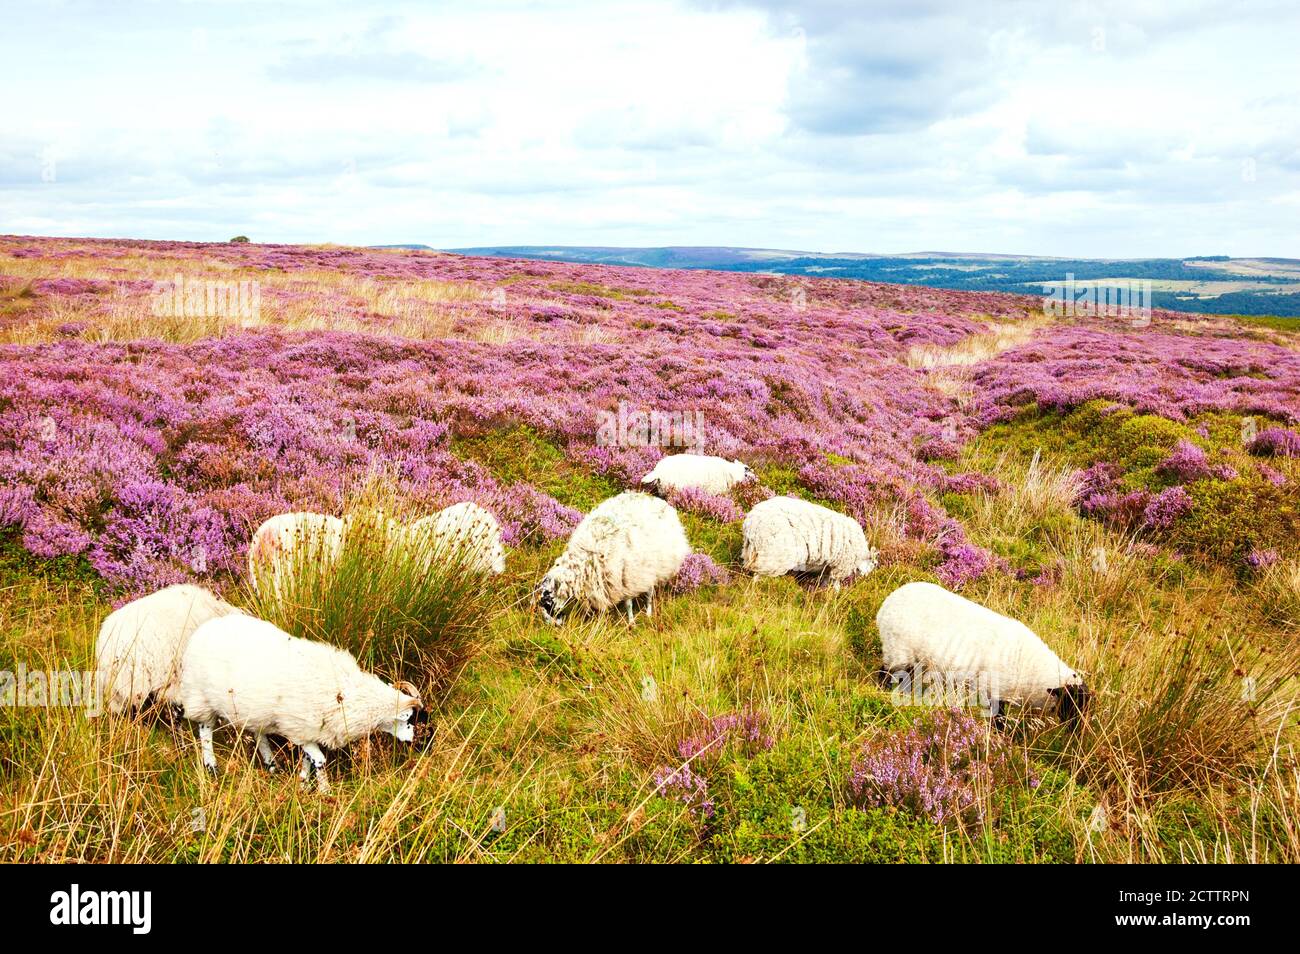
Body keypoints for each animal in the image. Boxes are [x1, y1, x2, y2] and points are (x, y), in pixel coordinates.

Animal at [175, 614, 422, 791]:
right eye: (414, 720)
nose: (420, 745)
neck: (353, 696)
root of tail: (206, 626)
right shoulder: (299, 728)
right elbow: (319, 760)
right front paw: (325, 792)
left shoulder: (306, 730)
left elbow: (308, 759)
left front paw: (303, 784)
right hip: (200, 696)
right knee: (205, 730)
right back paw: (211, 766)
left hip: (255, 710)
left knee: (259, 734)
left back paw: (272, 766)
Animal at [537, 491, 690, 624]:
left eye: (548, 602)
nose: (552, 625)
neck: (587, 558)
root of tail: (657, 500)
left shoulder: (626, 580)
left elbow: (628, 604)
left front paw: (631, 623)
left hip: (652, 568)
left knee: (650, 592)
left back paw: (648, 613)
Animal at [741, 495, 877, 589]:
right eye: (874, 565)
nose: (864, 580)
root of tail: (751, 523)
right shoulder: (841, 565)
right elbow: (835, 582)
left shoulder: (828, 567)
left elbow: (827, 580)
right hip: (772, 555)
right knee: (759, 575)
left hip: (752, 552)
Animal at [874, 581, 1088, 725]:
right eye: (1070, 704)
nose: (1078, 731)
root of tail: (887, 602)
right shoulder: (994, 691)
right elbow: (998, 720)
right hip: (898, 649)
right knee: (886, 673)